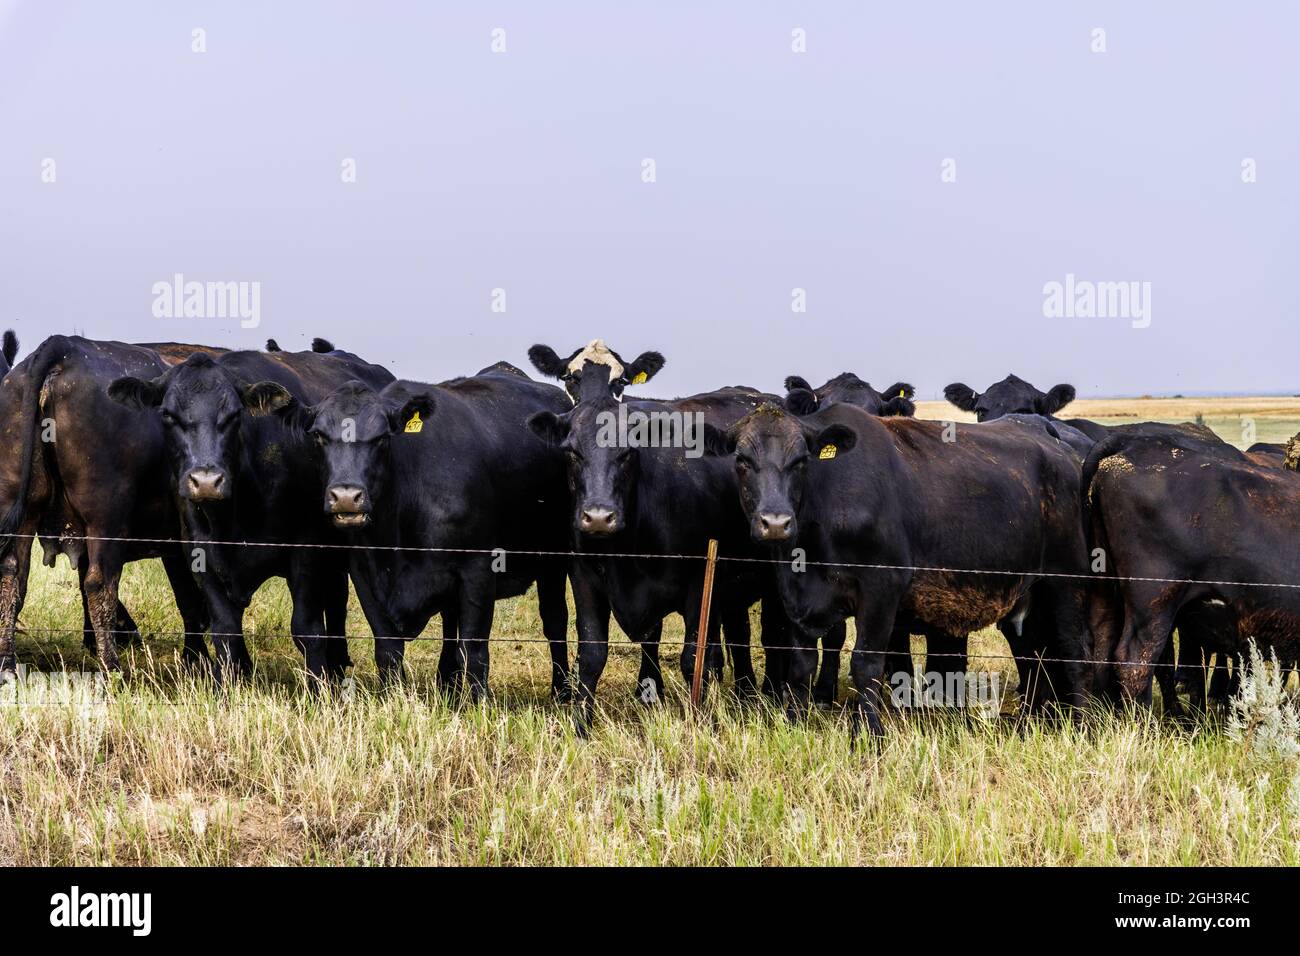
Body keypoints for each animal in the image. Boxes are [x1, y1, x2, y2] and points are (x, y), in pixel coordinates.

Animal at [0, 336, 226, 682]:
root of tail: (64, 347)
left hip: (24, 510)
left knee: (13, 575)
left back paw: (8, 665)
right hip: (106, 518)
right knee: (100, 583)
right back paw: (112, 669)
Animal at [106, 339, 393, 684]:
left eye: (233, 415)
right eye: (168, 415)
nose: (206, 481)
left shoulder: (306, 550)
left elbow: (307, 629)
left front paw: (318, 685)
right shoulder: (200, 554)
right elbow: (225, 629)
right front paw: (229, 684)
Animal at [268, 363, 576, 700]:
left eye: (381, 438)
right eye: (319, 437)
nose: (346, 497)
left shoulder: (478, 570)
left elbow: (475, 649)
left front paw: (479, 702)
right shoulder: (365, 573)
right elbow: (388, 650)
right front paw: (394, 698)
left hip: (554, 561)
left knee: (555, 621)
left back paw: (561, 690)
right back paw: (447, 682)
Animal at [701, 402, 1093, 735]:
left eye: (800, 461)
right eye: (742, 460)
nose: (776, 523)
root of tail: (1055, 443)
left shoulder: (881, 589)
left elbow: (867, 663)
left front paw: (869, 733)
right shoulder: (796, 596)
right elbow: (800, 664)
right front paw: (795, 725)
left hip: (1066, 582)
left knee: (1075, 651)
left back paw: (1081, 725)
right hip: (1028, 593)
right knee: (1034, 654)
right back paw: (1030, 720)